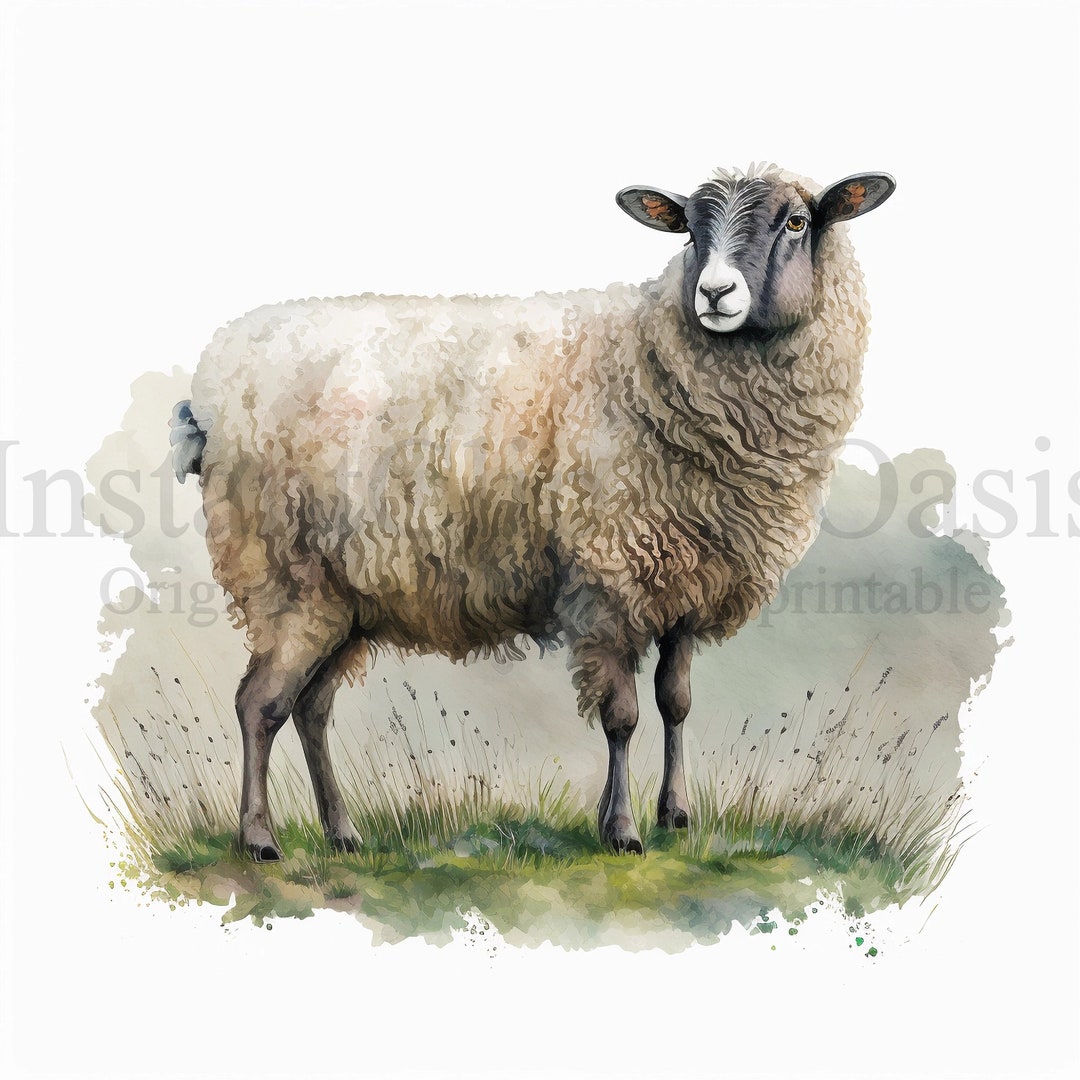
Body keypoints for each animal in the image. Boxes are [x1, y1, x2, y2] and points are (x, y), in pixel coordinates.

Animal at [173, 163, 894, 861]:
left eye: (797, 222)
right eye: (690, 229)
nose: (715, 294)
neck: (649, 365)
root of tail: (211, 390)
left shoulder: (684, 584)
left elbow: (677, 703)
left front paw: (675, 814)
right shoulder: (609, 579)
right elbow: (623, 716)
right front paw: (622, 830)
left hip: (344, 595)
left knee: (311, 708)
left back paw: (343, 834)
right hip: (285, 576)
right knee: (259, 704)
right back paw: (260, 839)